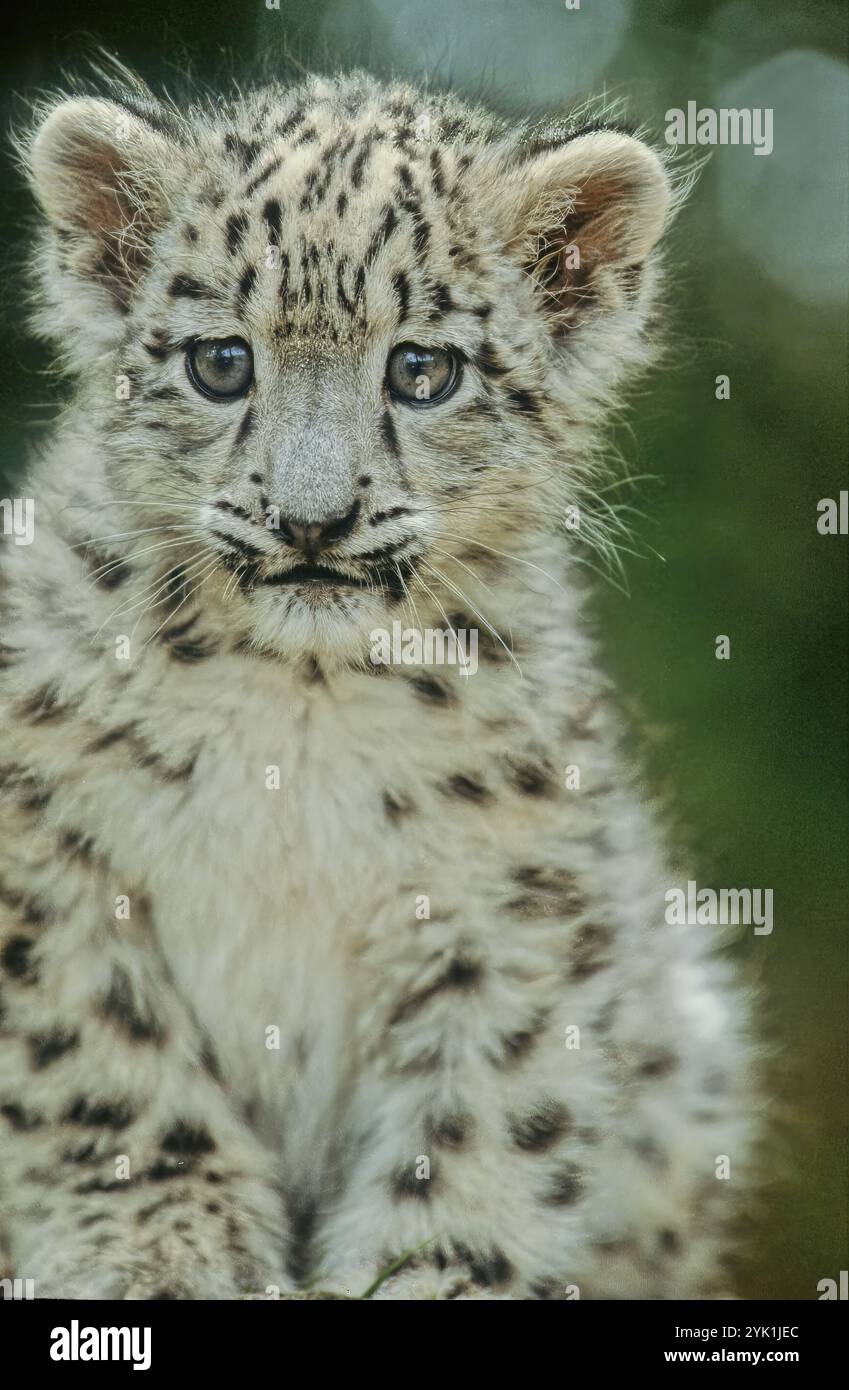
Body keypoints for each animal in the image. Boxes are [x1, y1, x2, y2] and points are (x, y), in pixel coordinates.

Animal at [0, 66, 754, 1300]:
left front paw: (439, 1266)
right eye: (220, 362)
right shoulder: (46, 848)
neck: (300, 705)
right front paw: (166, 1245)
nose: (312, 520)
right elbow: (100, 1058)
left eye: (421, 369)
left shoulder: (506, 900)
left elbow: (486, 1110)